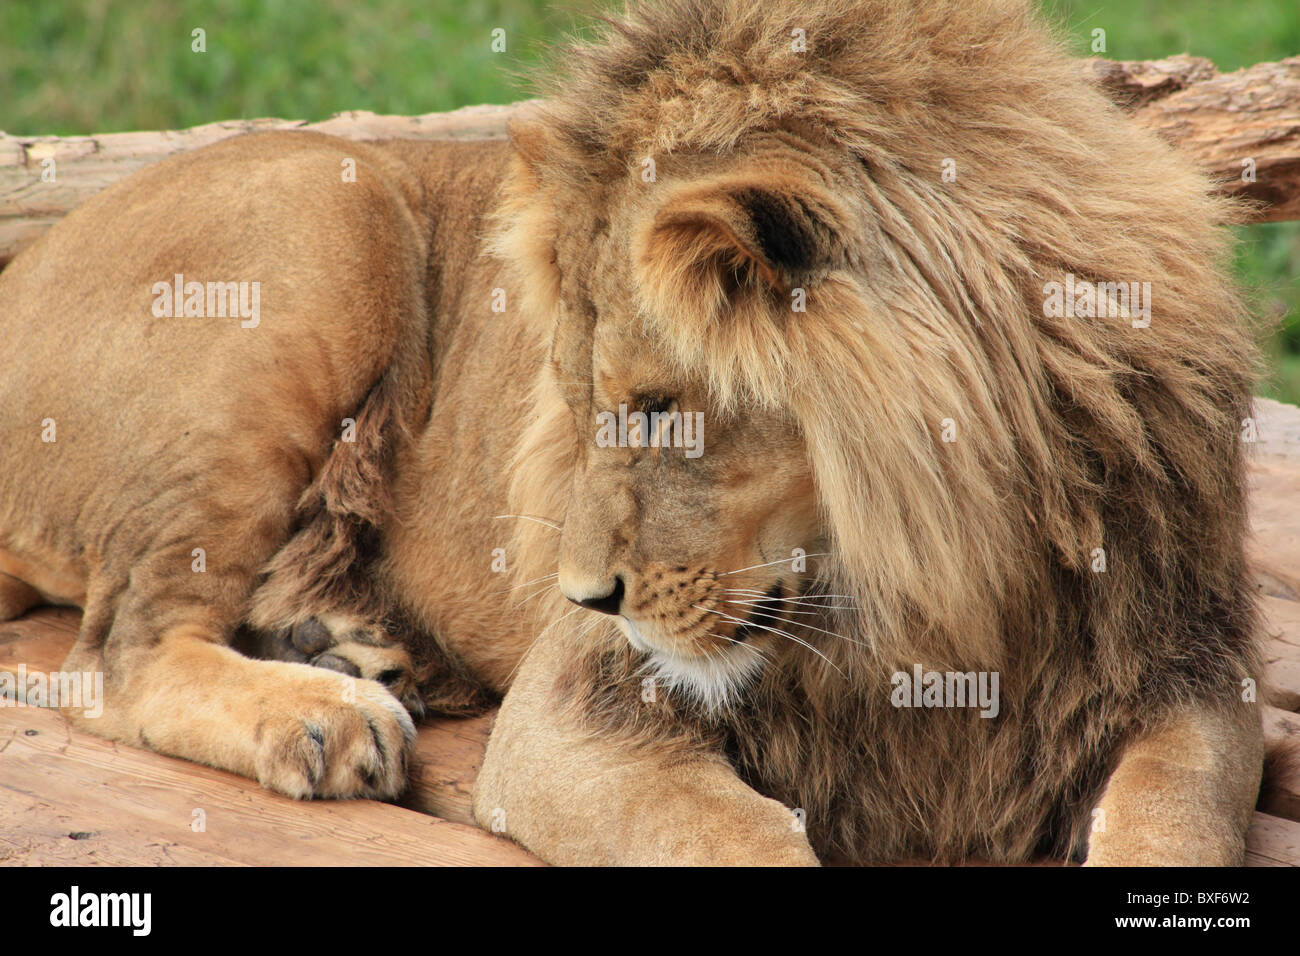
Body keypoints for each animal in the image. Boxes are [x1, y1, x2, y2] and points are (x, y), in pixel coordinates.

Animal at [0, 0, 1264, 865]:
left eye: (658, 409)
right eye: (574, 399)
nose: (583, 596)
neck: (928, 580)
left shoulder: (1189, 664)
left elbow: (1172, 813)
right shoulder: (571, 715)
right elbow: (741, 836)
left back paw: (342, 643)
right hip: (320, 217)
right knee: (118, 652)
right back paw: (323, 711)